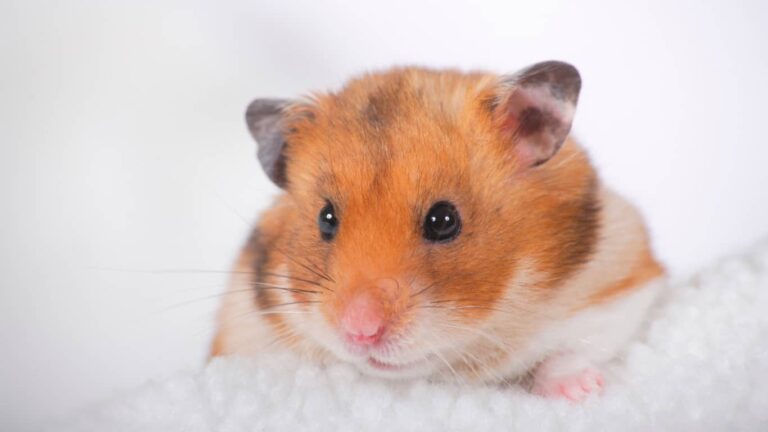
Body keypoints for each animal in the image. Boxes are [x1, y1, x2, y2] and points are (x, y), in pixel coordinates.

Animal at [211, 61, 665, 402]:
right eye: (326, 218)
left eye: (444, 220)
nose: (359, 331)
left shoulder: (619, 279)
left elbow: (574, 347)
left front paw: (582, 391)